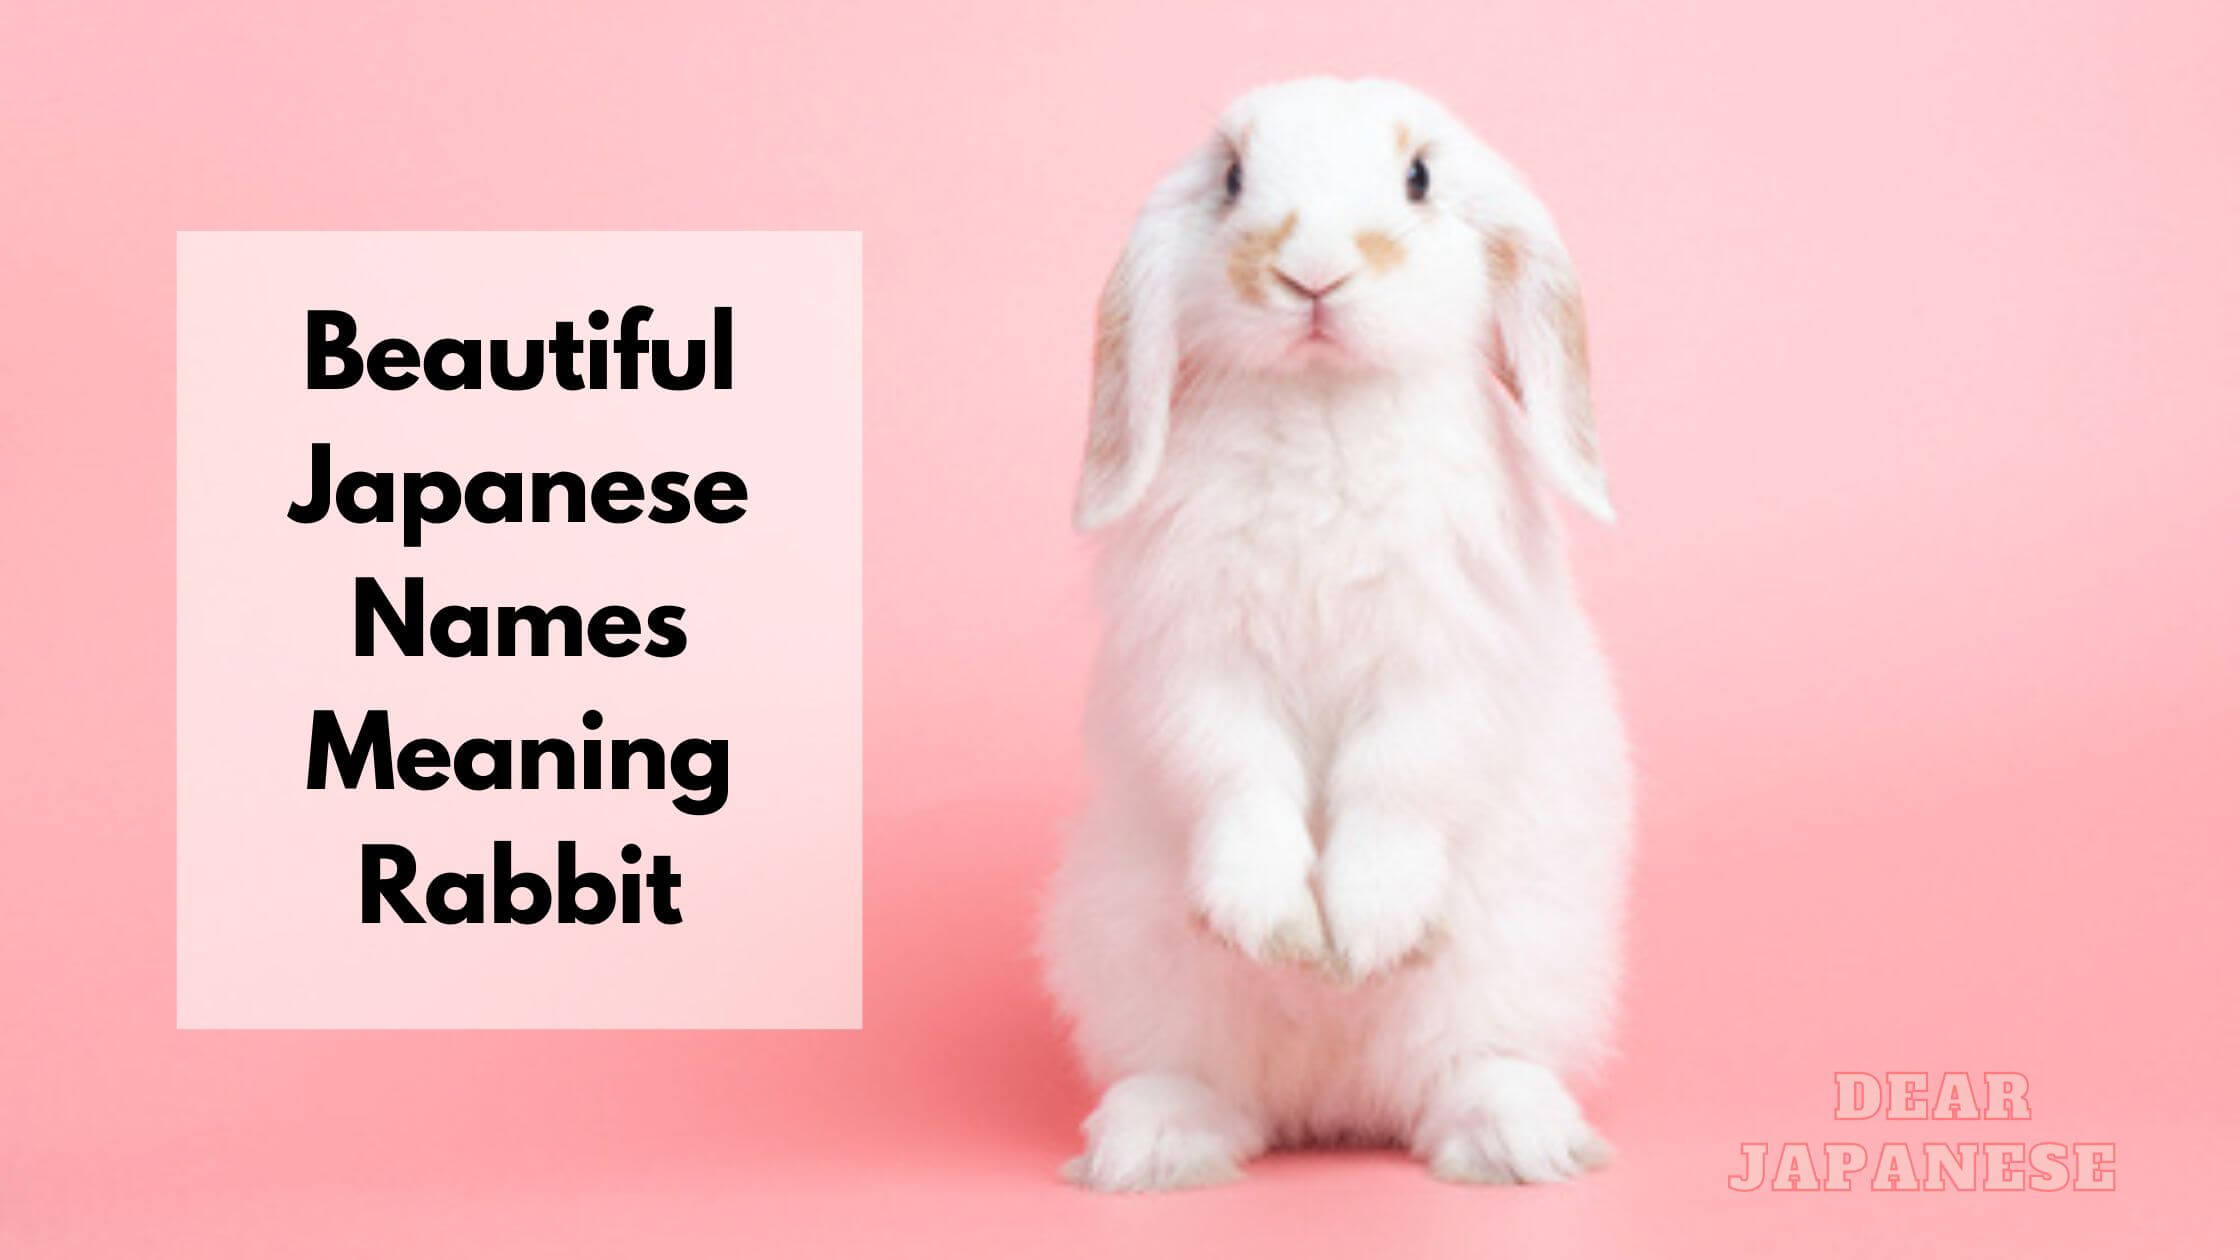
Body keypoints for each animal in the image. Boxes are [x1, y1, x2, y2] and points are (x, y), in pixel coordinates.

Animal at [1040, 77, 1633, 1192]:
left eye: (1418, 177)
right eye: (1233, 179)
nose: (1309, 271)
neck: (1324, 399)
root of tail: (1332, 1101)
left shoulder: (1436, 668)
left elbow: (1394, 781)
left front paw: (1361, 936)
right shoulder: (1197, 666)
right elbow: (1236, 775)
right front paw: (1274, 925)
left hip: (1523, 954)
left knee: (1465, 1067)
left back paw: (1518, 1140)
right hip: (1129, 954)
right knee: (1214, 1084)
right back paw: (1151, 1145)